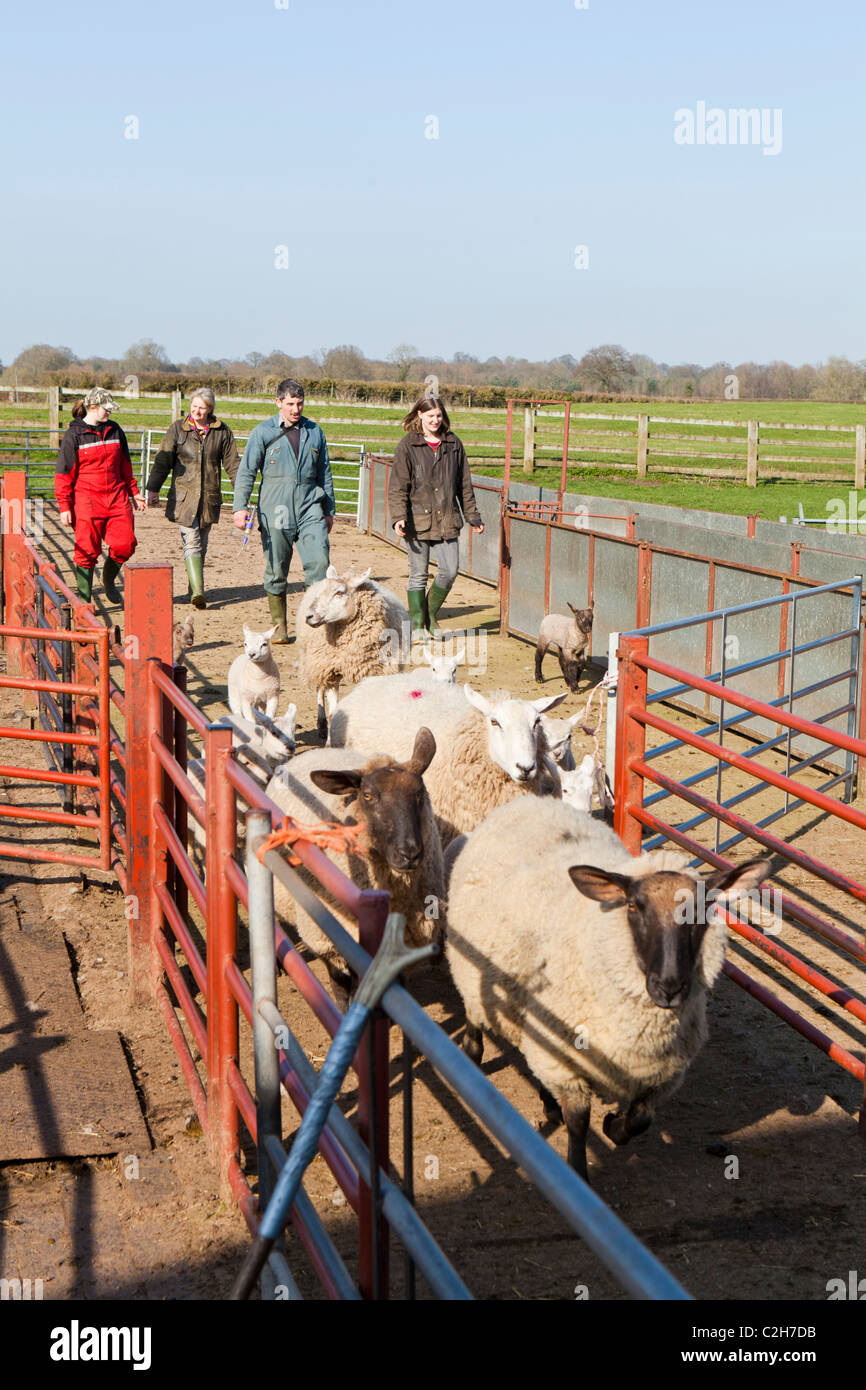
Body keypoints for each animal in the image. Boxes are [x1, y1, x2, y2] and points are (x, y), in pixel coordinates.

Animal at [264, 729, 444, 1006]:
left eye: (420, 795)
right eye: (367, 796)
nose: (410, 854)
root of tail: (310, 752)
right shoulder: (328, 938)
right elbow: (341, 986)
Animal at [296, 564, 410, 742]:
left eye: (339, 593)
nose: (309, 616)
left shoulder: (372, 672)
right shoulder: (331, 670)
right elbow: (333, 713)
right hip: (316, 660)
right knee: (319, 688)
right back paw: (321, 725)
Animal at [446, 797, 771, 1179]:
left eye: (705, 909)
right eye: (633, 906)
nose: (669, 986)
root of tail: (531, 800)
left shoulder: (663, 1073)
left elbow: (641, 1119)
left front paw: (614, 1125)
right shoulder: (567, 1061)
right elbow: (578, 1121)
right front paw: (578, 1170)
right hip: (473, 971)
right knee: (474, 1016)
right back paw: (472, 1051)